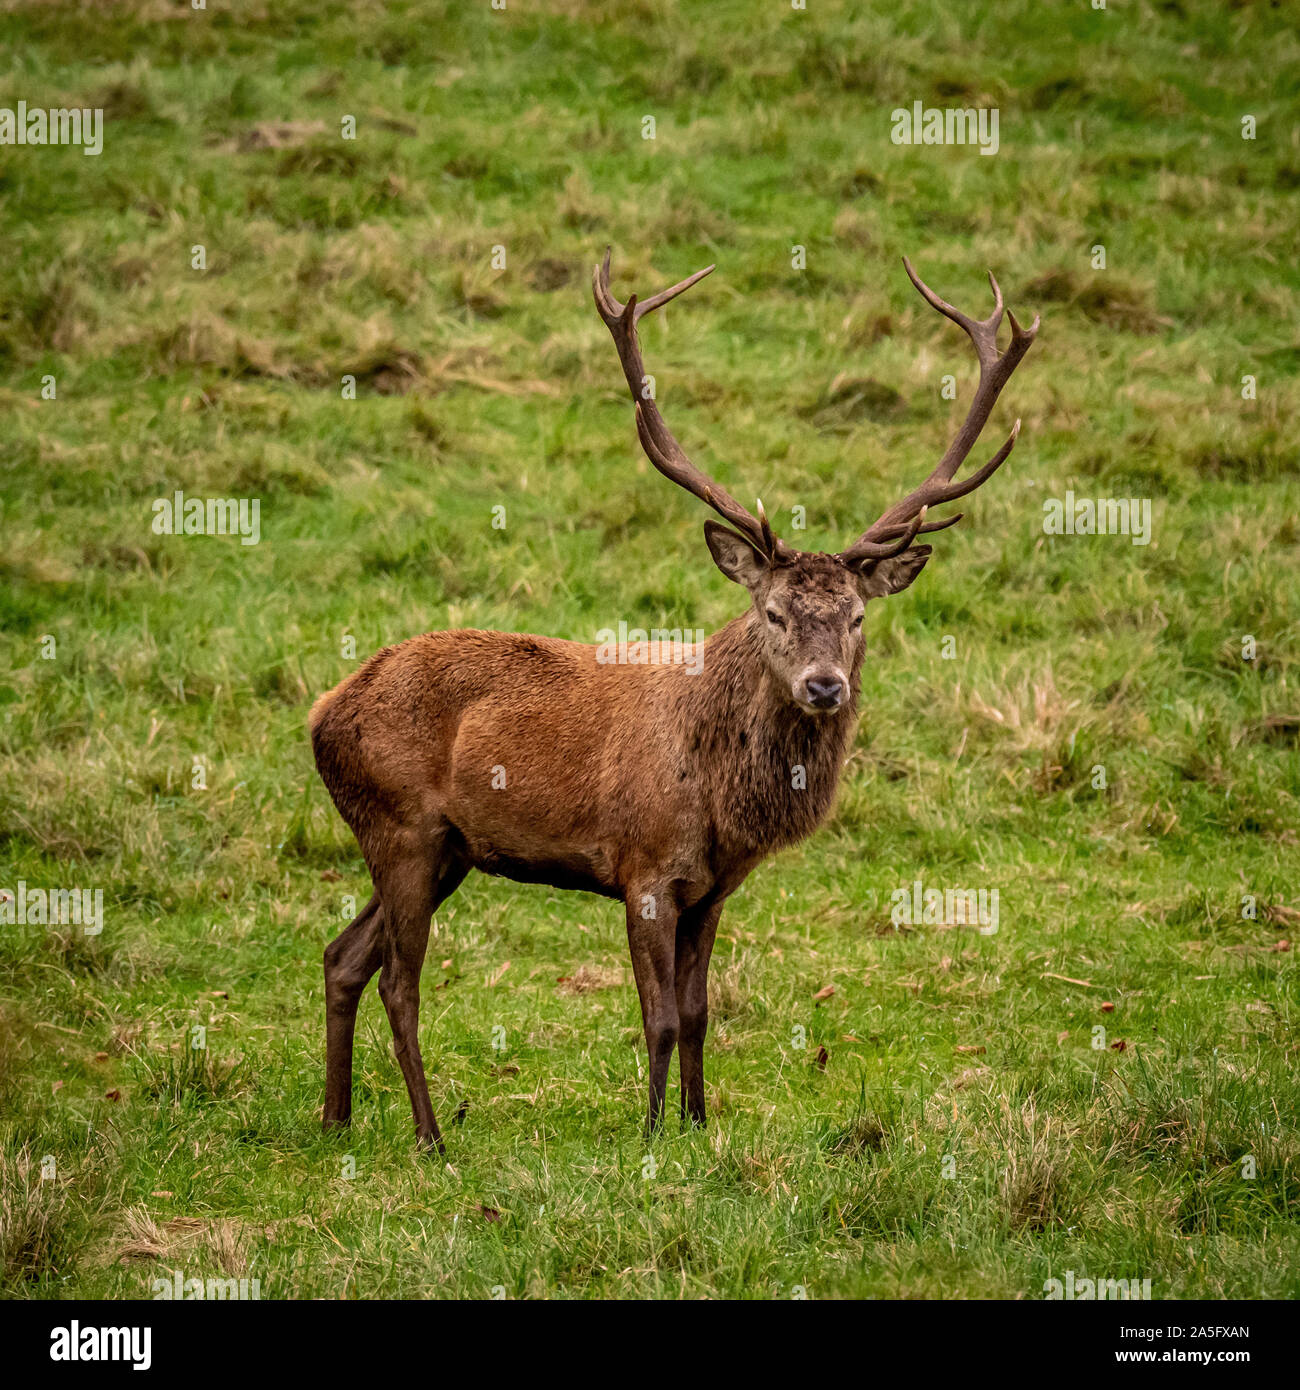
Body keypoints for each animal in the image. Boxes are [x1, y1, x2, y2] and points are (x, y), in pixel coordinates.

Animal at [309, 250, 1039, 1153]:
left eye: (858, 617)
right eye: (774, 612)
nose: (824, 686)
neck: (720, 794)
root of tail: (320, 714)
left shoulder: (711, 891)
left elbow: (697, 1015)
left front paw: (696, 1122)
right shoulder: (644, 870)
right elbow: (655, 1017)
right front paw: (653, 1135)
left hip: (442, 848)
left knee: (343, 954)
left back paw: (336, 1116)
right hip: (400, 826)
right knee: (398, 982)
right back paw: (431, 1136)